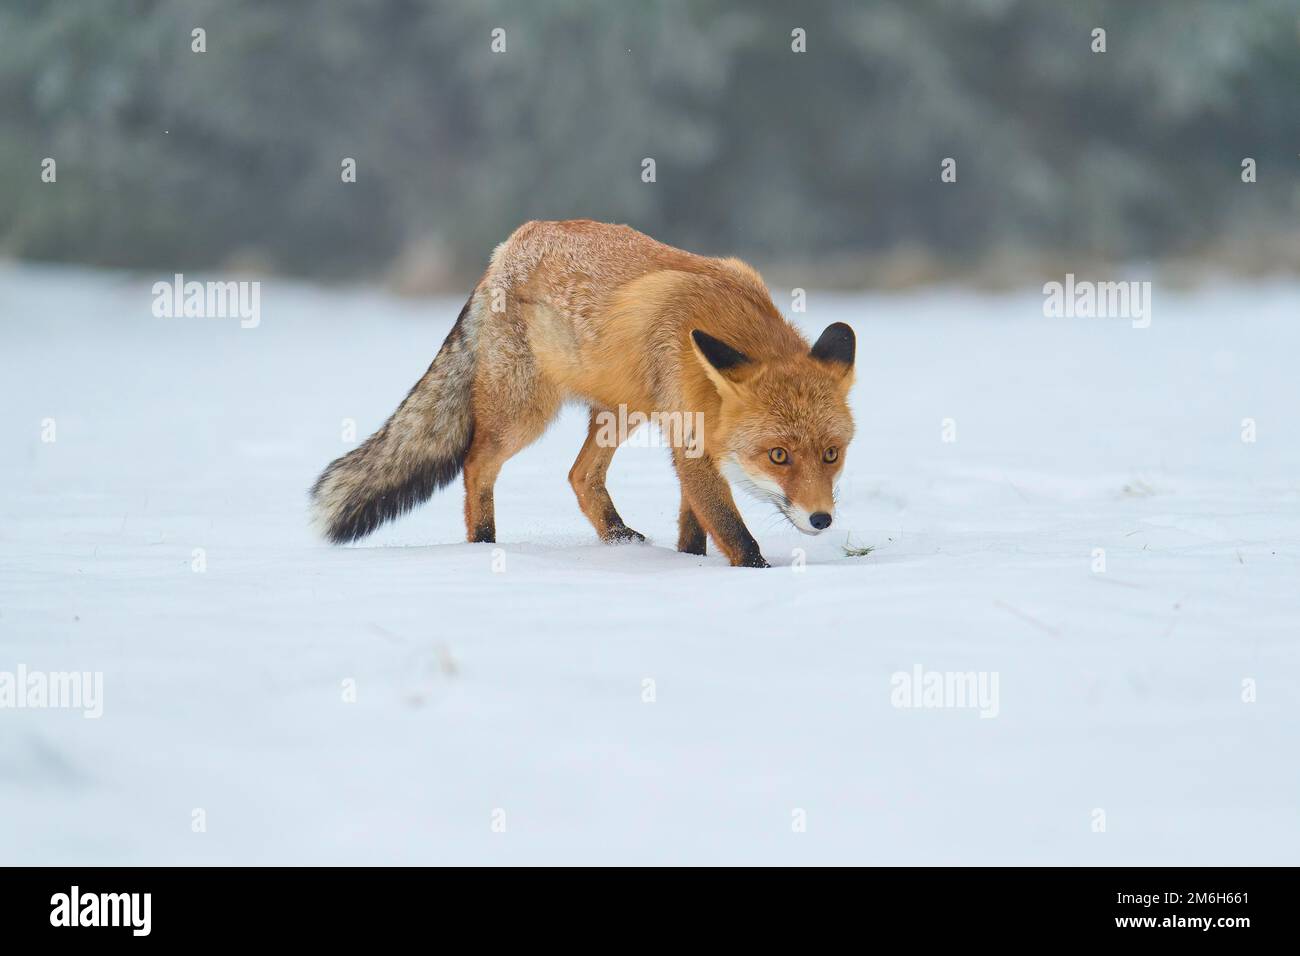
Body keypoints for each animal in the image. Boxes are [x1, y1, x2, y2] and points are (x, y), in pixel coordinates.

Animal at [310, 220, 855, 568]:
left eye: (831, 454)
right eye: (778, 455)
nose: (822, 519)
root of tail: (507, 247)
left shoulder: (691, 438)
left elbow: (694, 523)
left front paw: (689, 562)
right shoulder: (691, 443)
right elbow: (731, 529)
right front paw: (754, 573)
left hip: (619, 413)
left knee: (579, 476)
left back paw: (618, 540)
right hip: (524, 413)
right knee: (476, 463)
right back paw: (484, 547)